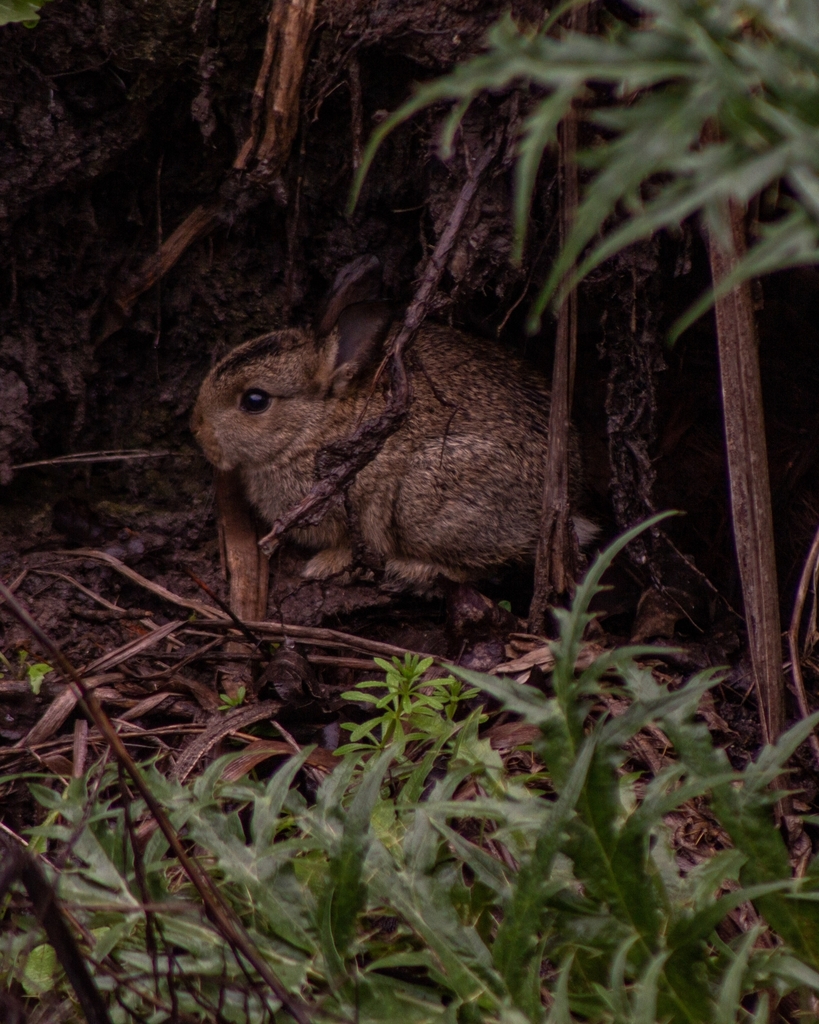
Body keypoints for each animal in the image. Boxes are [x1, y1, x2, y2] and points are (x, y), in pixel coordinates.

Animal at [191, 296, 597, 592]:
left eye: (255, 401)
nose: (198, 431)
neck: (311, 426)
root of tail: (568, 505)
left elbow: (349, 545)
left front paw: (321, 567)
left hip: (424, 503)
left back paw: (408, 570)